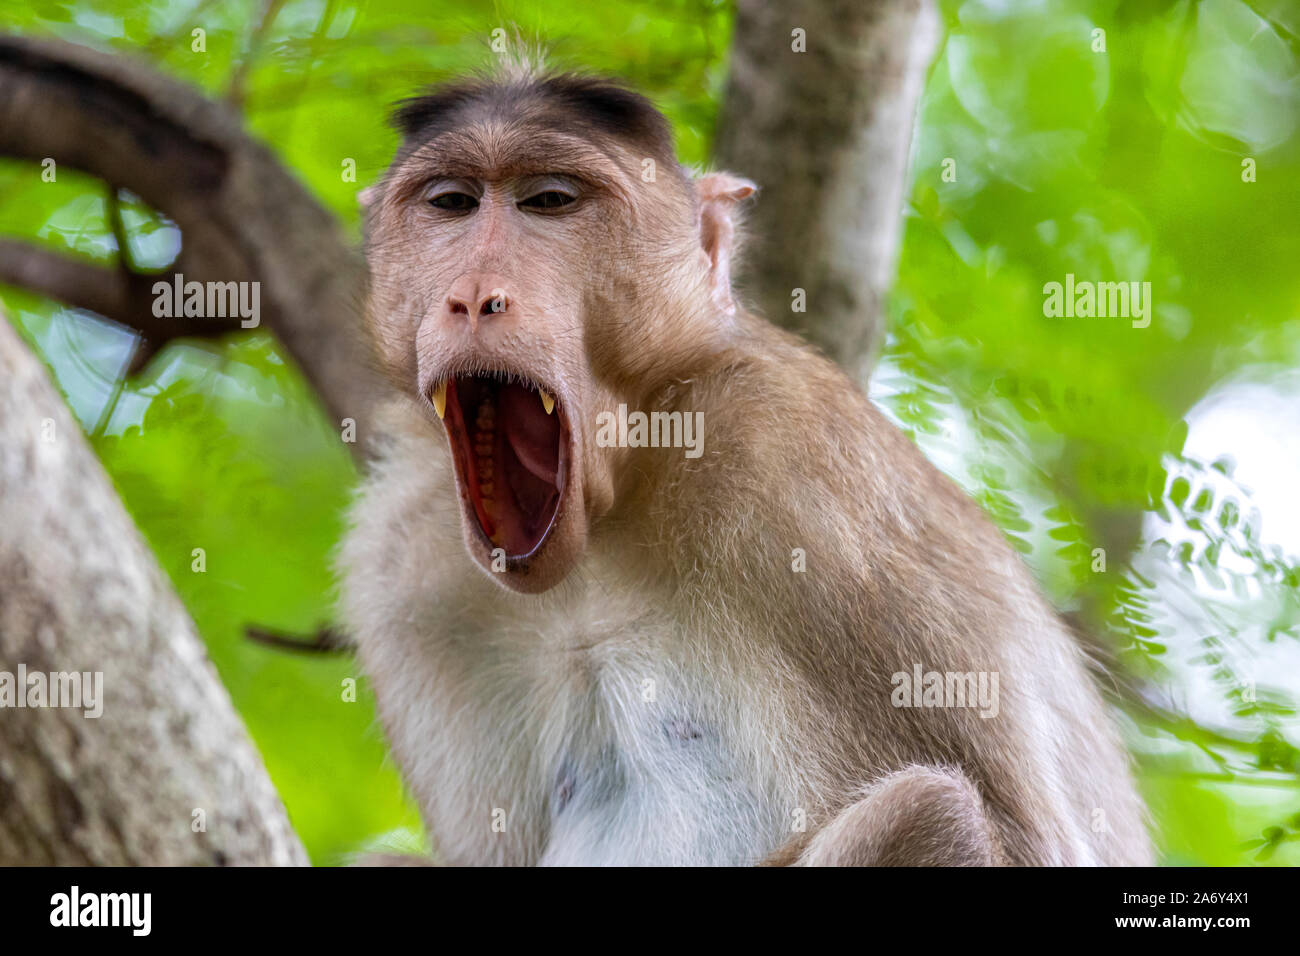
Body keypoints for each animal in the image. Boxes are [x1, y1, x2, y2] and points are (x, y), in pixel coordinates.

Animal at [339, 63, 1152, 866]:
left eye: (550, 202)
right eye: (452, 203)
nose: (474, 296)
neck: (609, 523)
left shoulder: (791, 459)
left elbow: (1026, 839)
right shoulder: (408, 566)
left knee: (932, 811)